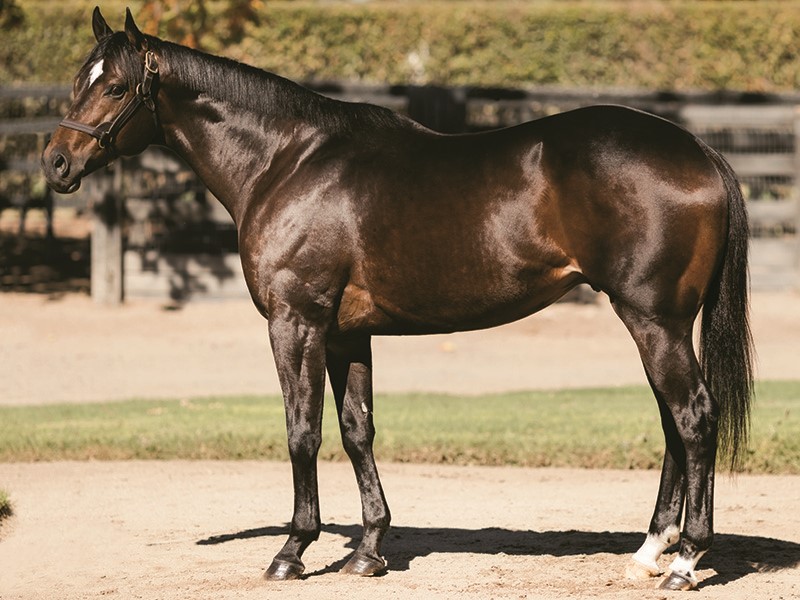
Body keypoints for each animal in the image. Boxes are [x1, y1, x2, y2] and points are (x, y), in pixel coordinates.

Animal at [42, 8, 754, 591]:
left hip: (653, 320)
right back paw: (649, 552)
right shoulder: (346, 333)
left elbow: (303, 430)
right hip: (660, 324)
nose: (55, 163)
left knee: (693, 416)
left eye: (115, 86)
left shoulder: (295, 322)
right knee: (673, 423)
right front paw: (368, 551)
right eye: (80, 79)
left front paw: (292, 551)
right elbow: (358, 430)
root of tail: (699, 150)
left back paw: (686, 559)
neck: (288, 161)